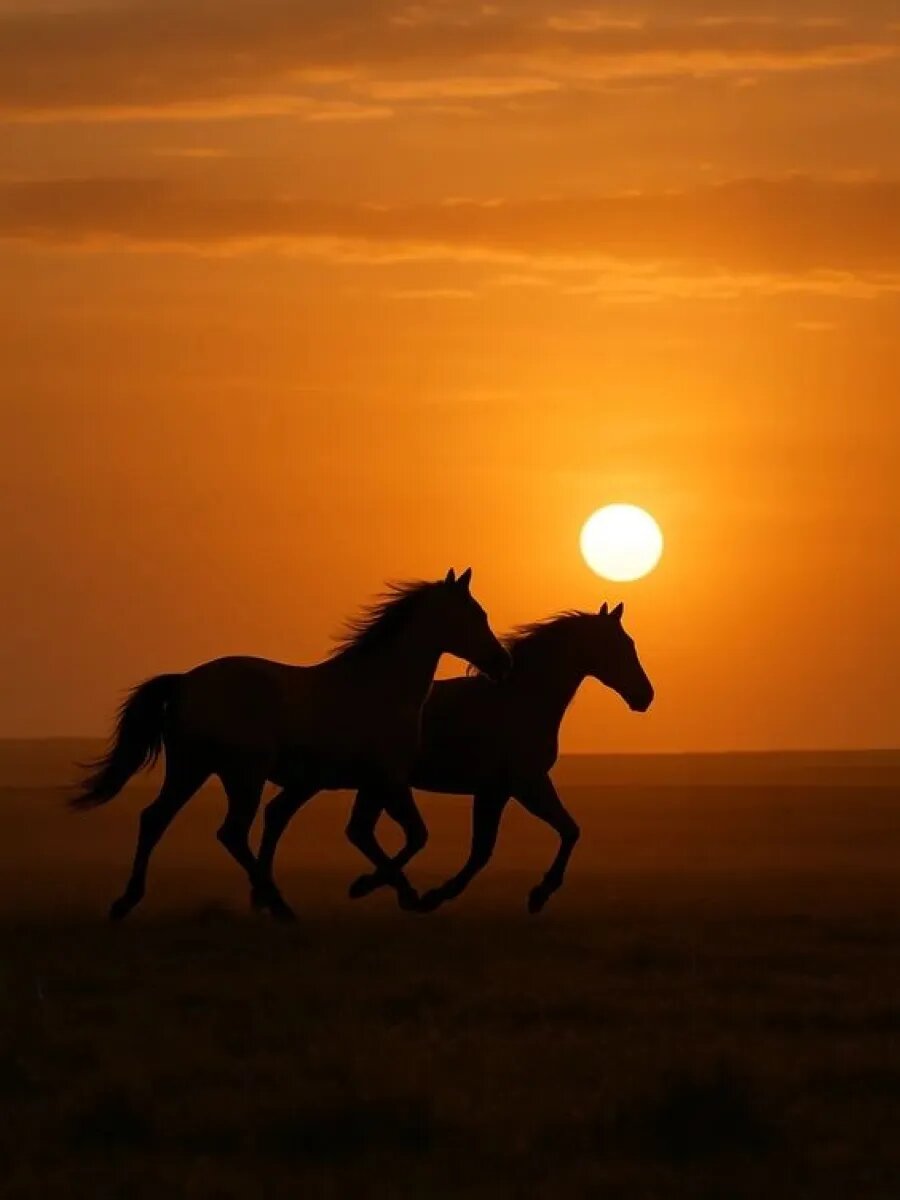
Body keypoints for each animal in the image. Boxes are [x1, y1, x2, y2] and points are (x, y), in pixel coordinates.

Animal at [73, 569, 511, 922]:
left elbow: (369, 833)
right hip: (242, 775)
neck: (381, 687)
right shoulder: (389, 780)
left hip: (192, 769)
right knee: (230, 832)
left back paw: (126, 902)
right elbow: (413, 835)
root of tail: (185, 682)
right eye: (477, 615)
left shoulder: (371, 784)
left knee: (155, 819)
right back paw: (278, 904)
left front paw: (393, 891)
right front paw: (391, 892)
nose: (501, 663)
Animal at [344, 602, 653, 913]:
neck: (516, 701)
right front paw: (441, 894)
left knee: (360, 831)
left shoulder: (516, 787)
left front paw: (540, 893)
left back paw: (375, 886)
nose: (646, 696)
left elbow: (567, 830)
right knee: (364, 831)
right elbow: (485, 850)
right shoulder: (515, 787)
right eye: (619, 645)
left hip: (377, 786)